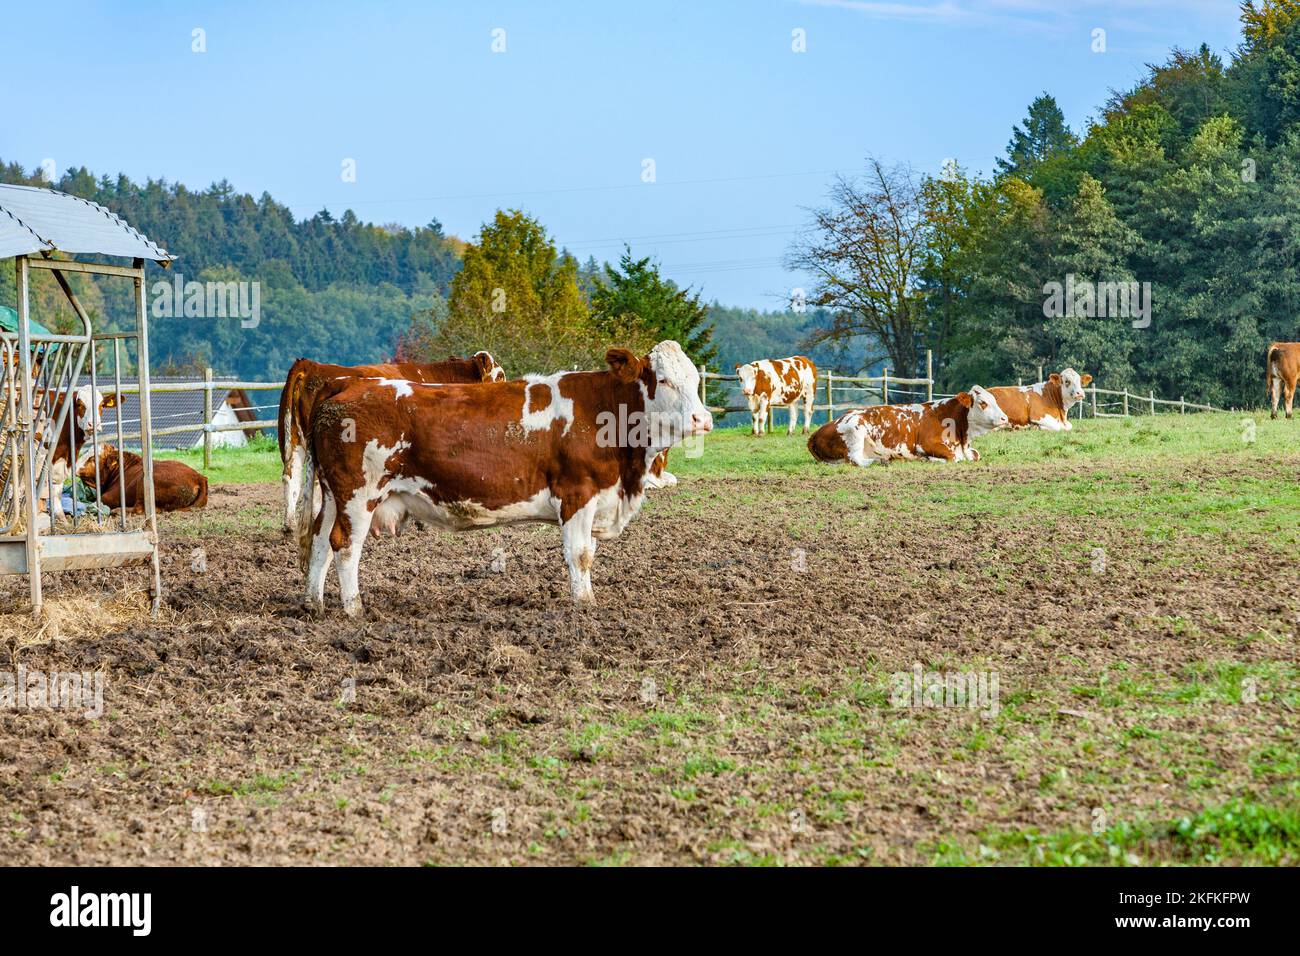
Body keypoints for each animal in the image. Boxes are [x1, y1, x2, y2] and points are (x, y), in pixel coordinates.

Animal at [77, 443, 208, 513]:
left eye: (93, 459)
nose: (75, 466)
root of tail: (199, 477)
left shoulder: (111, 497)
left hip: (144, 483)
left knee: (139, 509)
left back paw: (117, 511)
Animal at [807, 386, 1009, 467]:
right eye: (983, 403)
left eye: (994, 400)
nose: (1004, 418)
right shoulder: (925, 444)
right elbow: (952, 457)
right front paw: (929, 459)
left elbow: (975, 455)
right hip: (854, 433)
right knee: (855, 460)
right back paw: (883, 461)